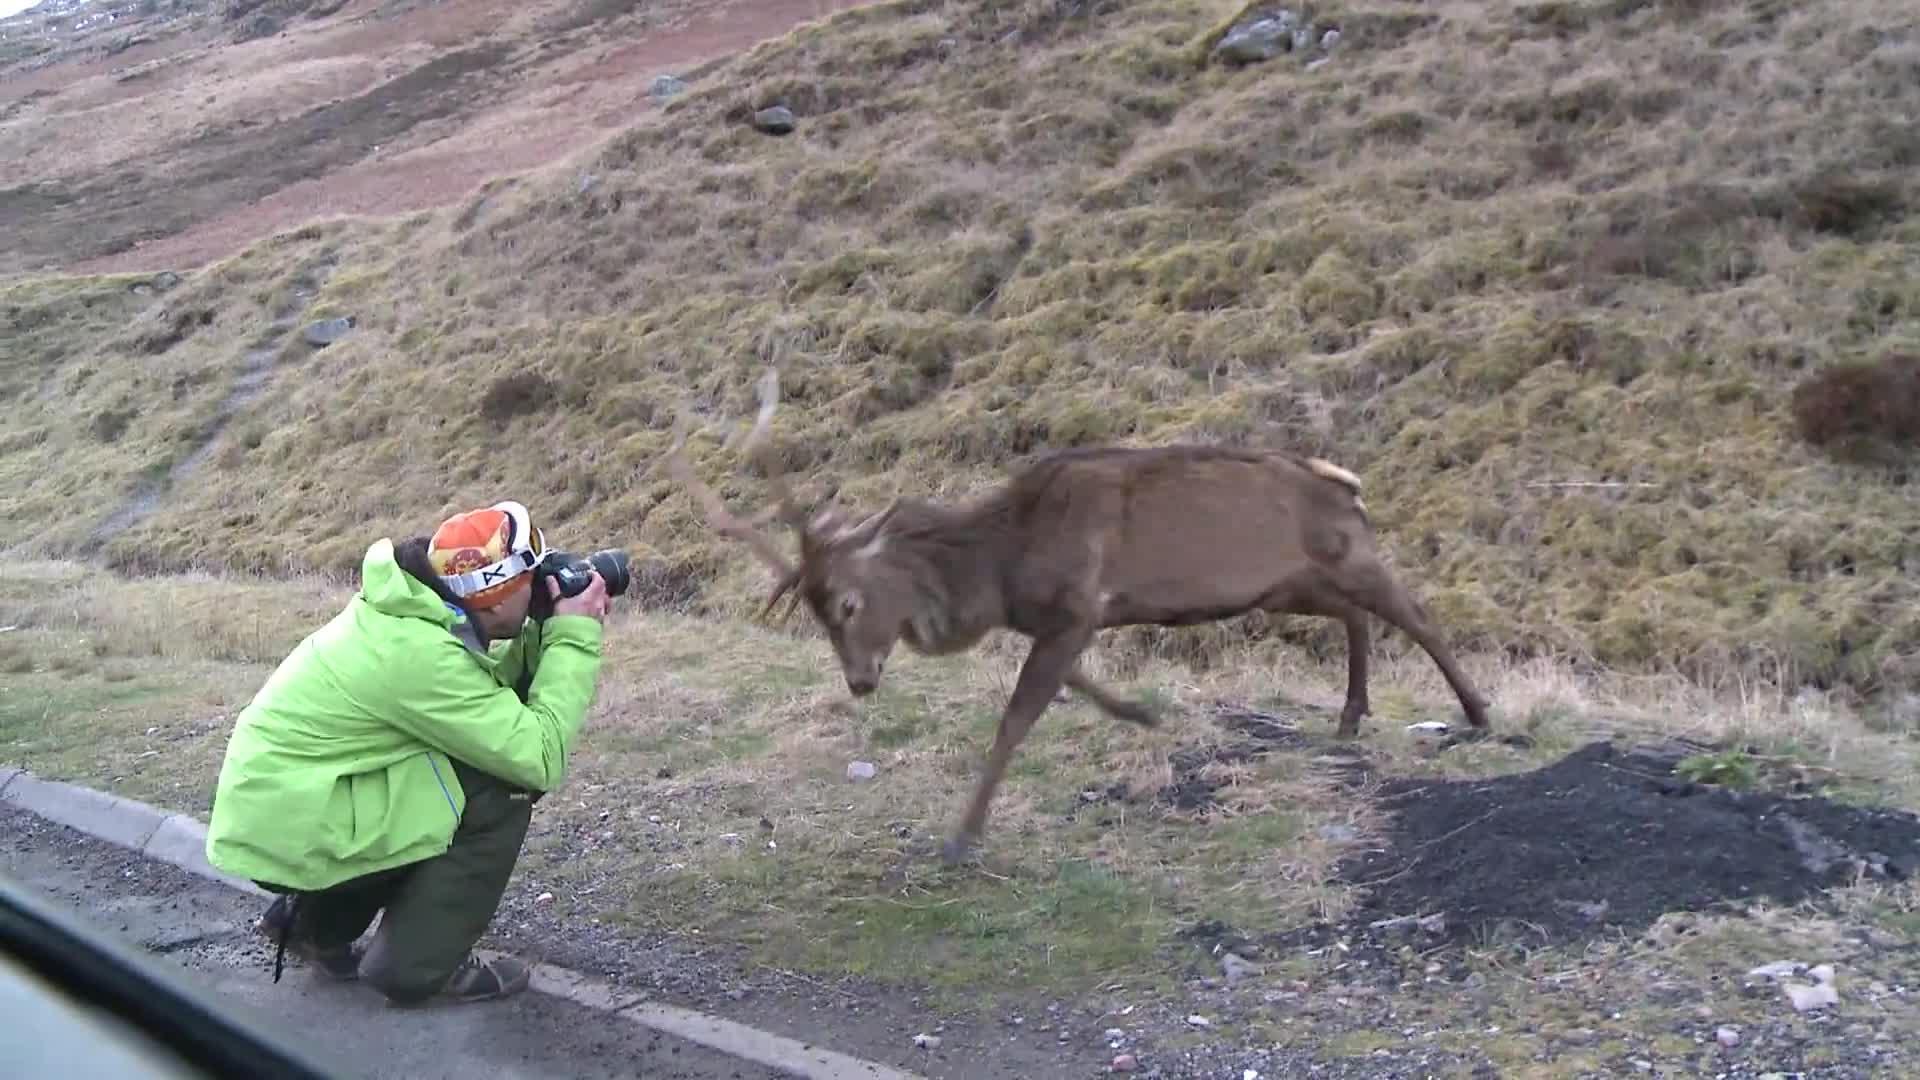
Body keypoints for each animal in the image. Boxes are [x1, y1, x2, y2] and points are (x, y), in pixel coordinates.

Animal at [664, 369, 1492, 866]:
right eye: (815, 614)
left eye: (846, 602)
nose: (861, 680)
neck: (1000, 565)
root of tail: (1346, 482)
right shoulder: (1064, 618)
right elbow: (1074, 686)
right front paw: (1143, 713)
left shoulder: (1074, 605)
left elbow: (1016, 718)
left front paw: (962, 838)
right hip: (1282, 583)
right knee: (1357, 616)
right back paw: (1351, 714)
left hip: (1343, 552)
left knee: (1415, 611)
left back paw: (1477, 713)